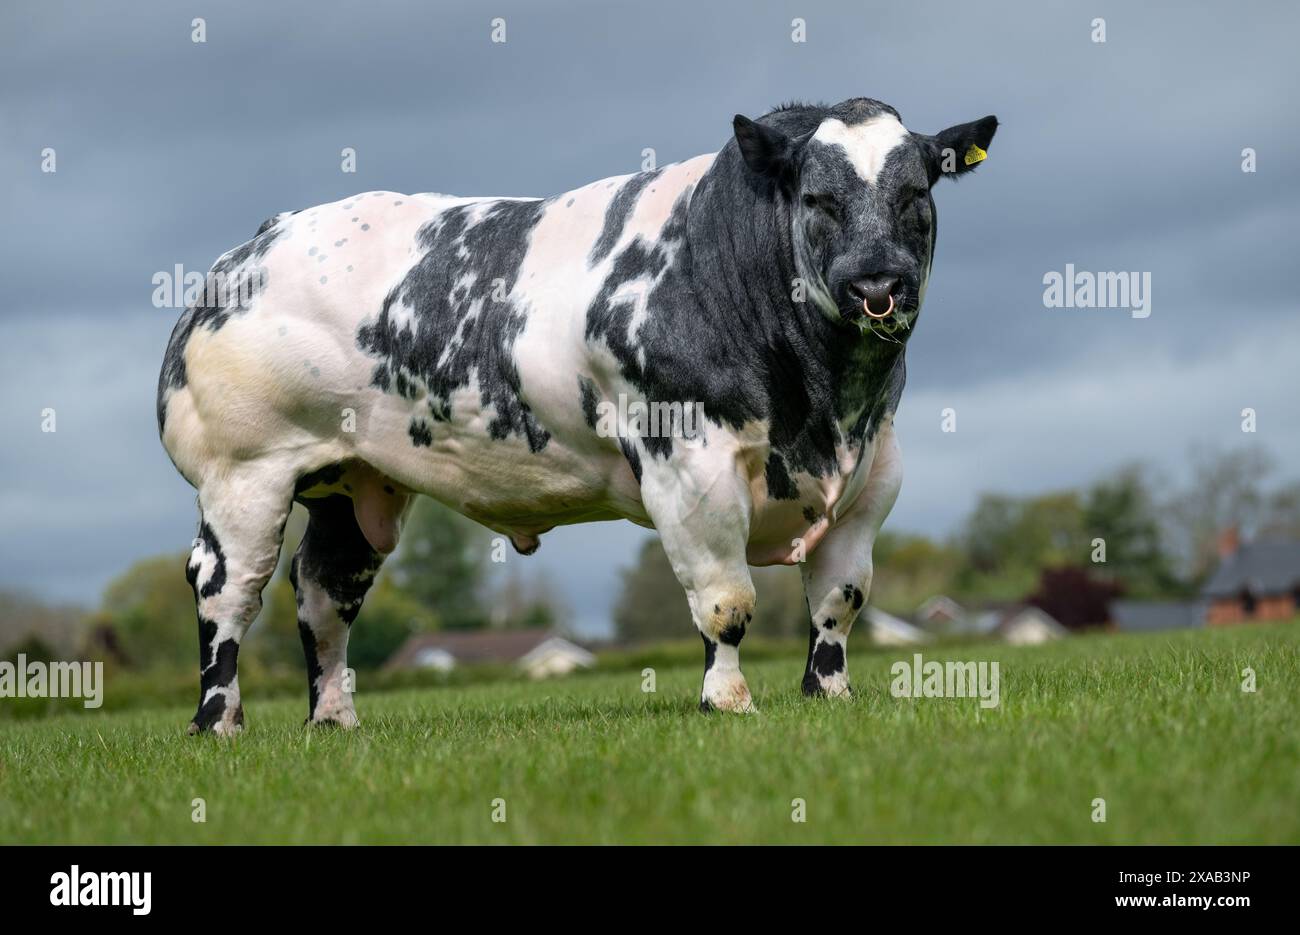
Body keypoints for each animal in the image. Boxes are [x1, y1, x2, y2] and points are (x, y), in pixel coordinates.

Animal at [157, 97, 997, 734]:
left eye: (916, 195)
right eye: (818, 199)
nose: (877, 284)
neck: (821, 407)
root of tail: (259, 241)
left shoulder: (872, 476)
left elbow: (837, 601)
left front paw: (829, 694)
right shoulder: (687, 465)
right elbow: (725, 601)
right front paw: (727, 700)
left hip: (351, 479)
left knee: (325, 590)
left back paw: (332, 720)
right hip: (244, 473)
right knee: (226, 587)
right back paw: (218, 723)